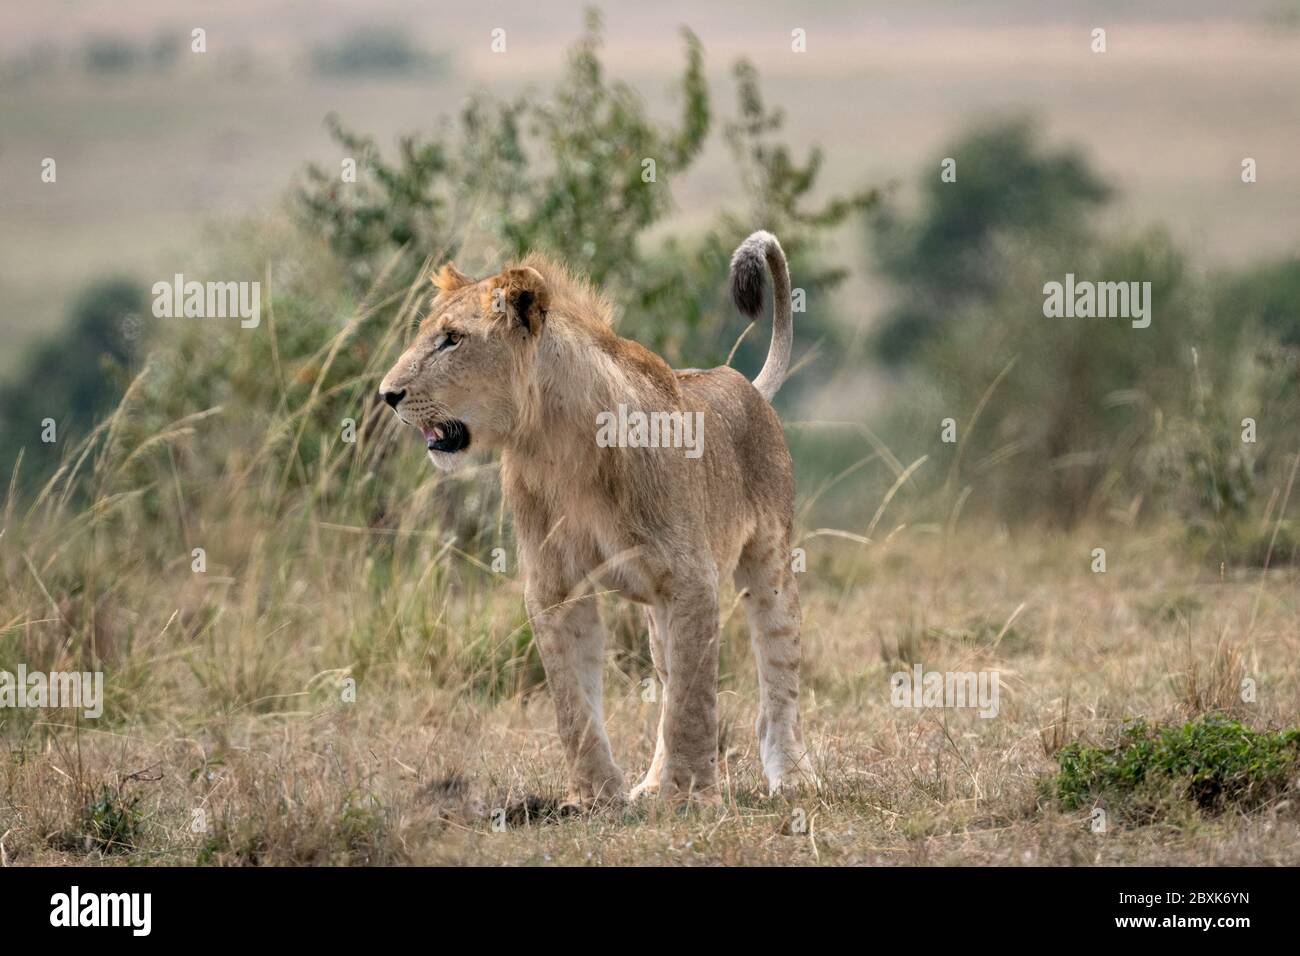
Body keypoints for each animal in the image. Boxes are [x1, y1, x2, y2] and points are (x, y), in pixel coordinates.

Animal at [379, 231, 816, 804]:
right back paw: (648, 785)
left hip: (768, 563)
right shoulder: (555, 586)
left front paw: (689, 793)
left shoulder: (693, 579)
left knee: (777, 668)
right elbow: (574, 704)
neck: (554, 441)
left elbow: (692, 700)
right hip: (659, 613)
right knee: (668, 675)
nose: (387, 395)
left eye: (452, 339)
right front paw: (595, 796)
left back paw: (790, 775)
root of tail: (743, 383)